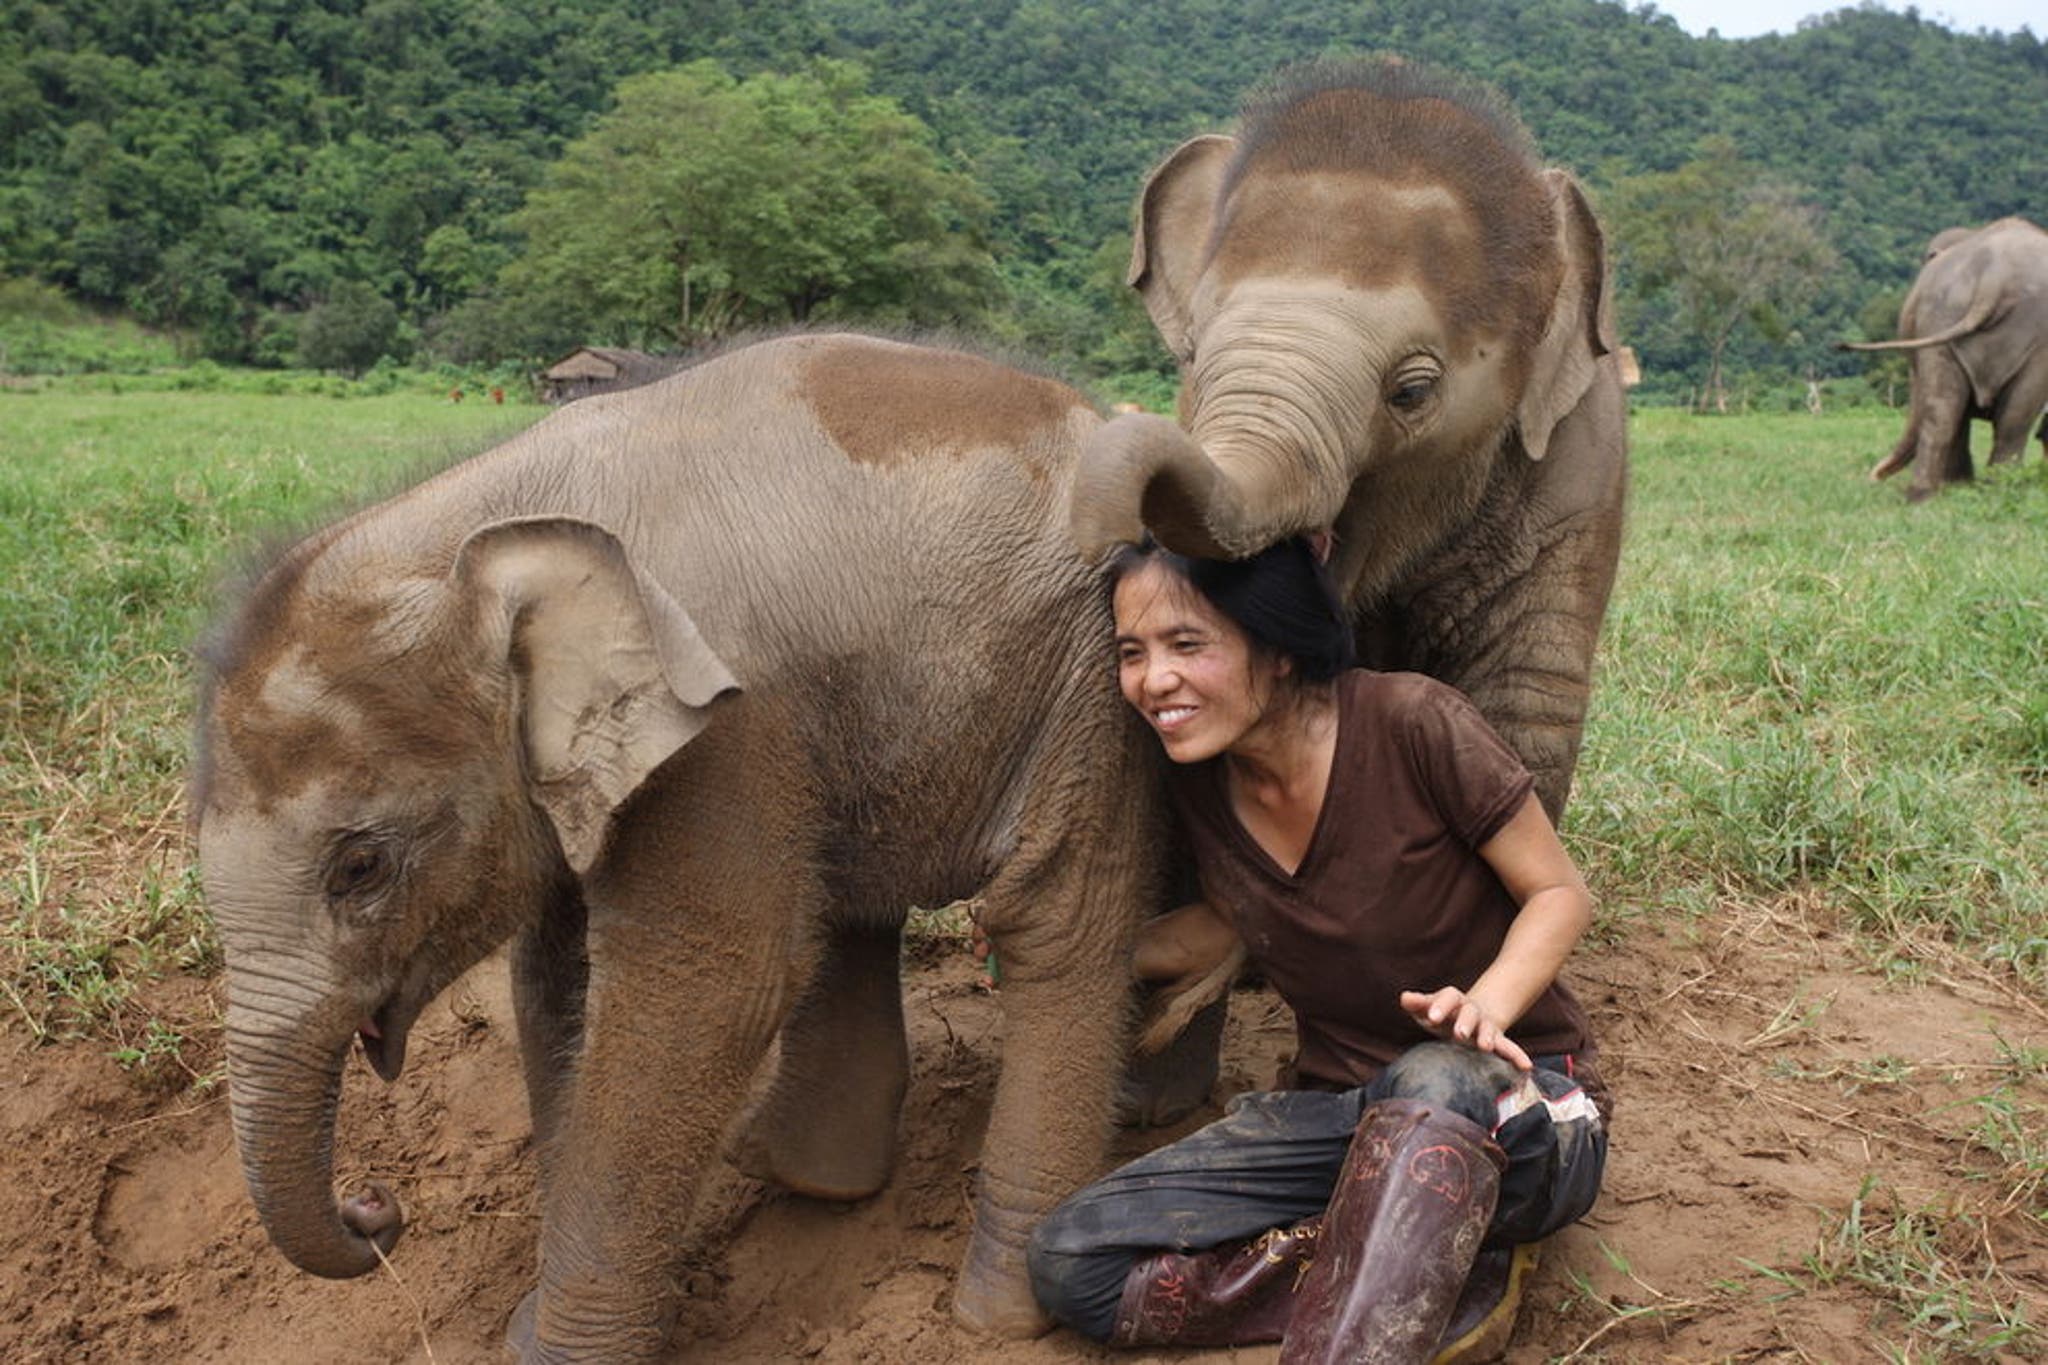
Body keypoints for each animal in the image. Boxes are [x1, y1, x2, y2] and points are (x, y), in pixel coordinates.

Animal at [191, 332, 1169, 1359]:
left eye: (361, 866)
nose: (375, 1207)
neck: (477, 528)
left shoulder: (727, 727)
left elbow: (705, 992)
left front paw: (550, 1349)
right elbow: (557, 981)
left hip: (1092, 662)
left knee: (1054, 920)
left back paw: (994, 1317)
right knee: (858, 901)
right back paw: (805, 1174)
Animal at [1842, 216, 2048, 501]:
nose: (1873, 478)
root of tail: (1993, 277)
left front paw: (1958, 485)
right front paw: (1960, 486)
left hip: (1944, 315)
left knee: (1959, 409)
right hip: (1947, 315)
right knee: (2002, 416)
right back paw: (1981, 489)